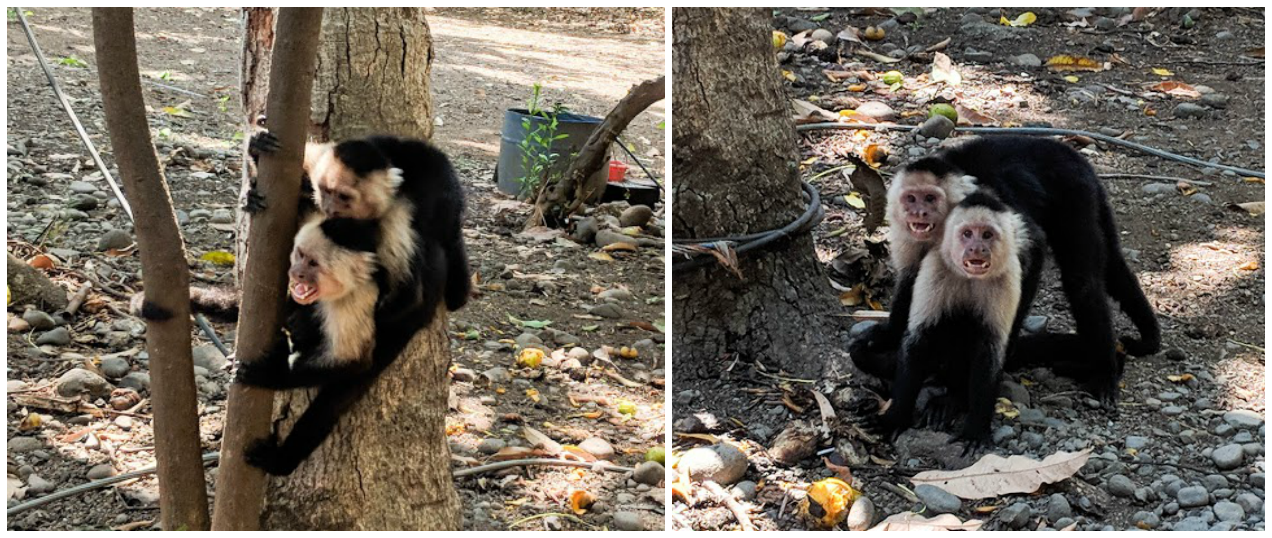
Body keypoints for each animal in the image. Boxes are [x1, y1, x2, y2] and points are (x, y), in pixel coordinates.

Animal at [850, 136, 1160, 403]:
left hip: (1074, 193)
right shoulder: (910, 233)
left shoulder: (983, 205)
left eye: (930, 198)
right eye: (911, 198)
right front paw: (889, 334)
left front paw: (995, 355)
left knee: (1083, 281)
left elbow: (1033, 251)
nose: (918, 214)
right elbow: (911, 277)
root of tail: (1070, 153)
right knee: (1114, 267)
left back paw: (1105, 370)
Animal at [866, 191, 1042, 451]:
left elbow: (989, 348)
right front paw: (895, 418)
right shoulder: (936, 266)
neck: (970, 276)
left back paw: (953, 398)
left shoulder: (1007, 276)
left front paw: (975, 428)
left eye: (987, 235)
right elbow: (918, 341)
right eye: (967, 234)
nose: (976, 248)